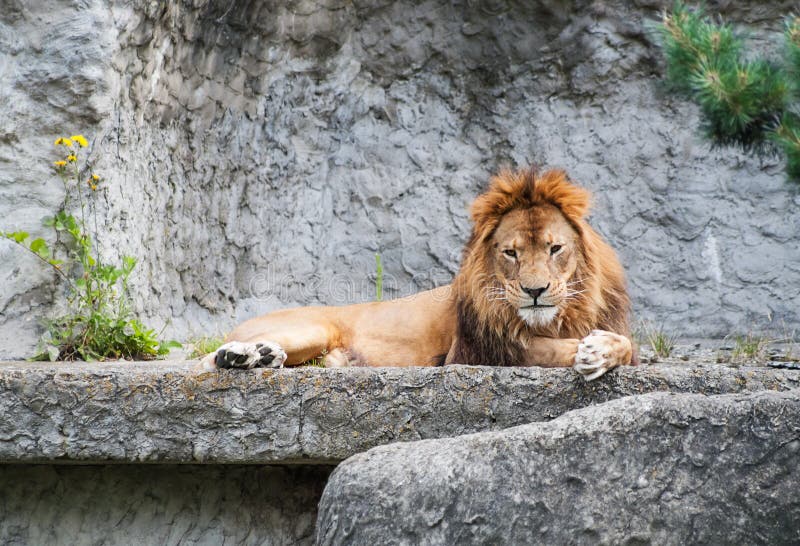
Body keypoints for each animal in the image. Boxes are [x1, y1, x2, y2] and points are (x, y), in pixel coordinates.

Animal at [200, 167, 637, 381]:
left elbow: (630, 347)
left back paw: (265, 356)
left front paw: (602, 349)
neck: (561, 316)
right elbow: (544, 349)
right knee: (206, 359)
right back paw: (241, 355)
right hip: (313, 329)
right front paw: (587, 350)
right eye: (511, 253)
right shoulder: (478, 352)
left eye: (554, 249)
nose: (535, 291)